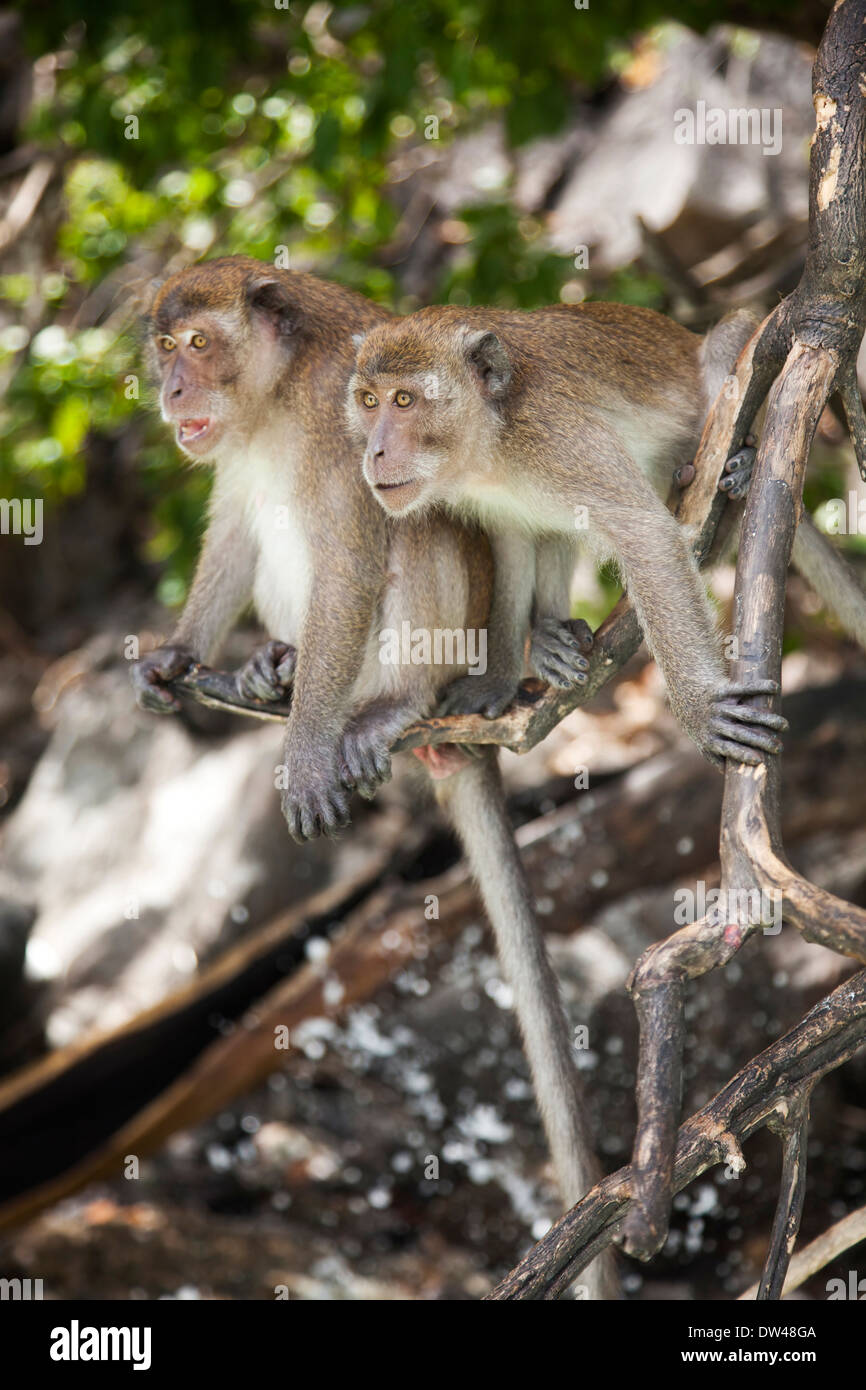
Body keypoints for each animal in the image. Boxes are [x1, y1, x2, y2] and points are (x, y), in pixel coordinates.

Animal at [130, 256, 616, 1296]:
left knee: (415, 530)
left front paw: (306, 751)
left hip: (436, 646)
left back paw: (381, 707)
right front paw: (178, 654)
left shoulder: (335, 424)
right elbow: (234, 527)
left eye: (199, 344)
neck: (273, 399)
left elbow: (354, 555)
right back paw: (271, 668)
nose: (172, 392)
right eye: (166, 347)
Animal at [346, 302, 793, 771]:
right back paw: (548, 637)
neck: (492, 439)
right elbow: (512, 542)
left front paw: (701, 713)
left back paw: (740, 475)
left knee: (732, 335)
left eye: (404, 399)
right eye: (369, 401)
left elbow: (644, 533)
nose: (374, 451)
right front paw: (496, 680)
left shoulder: (554, 435)